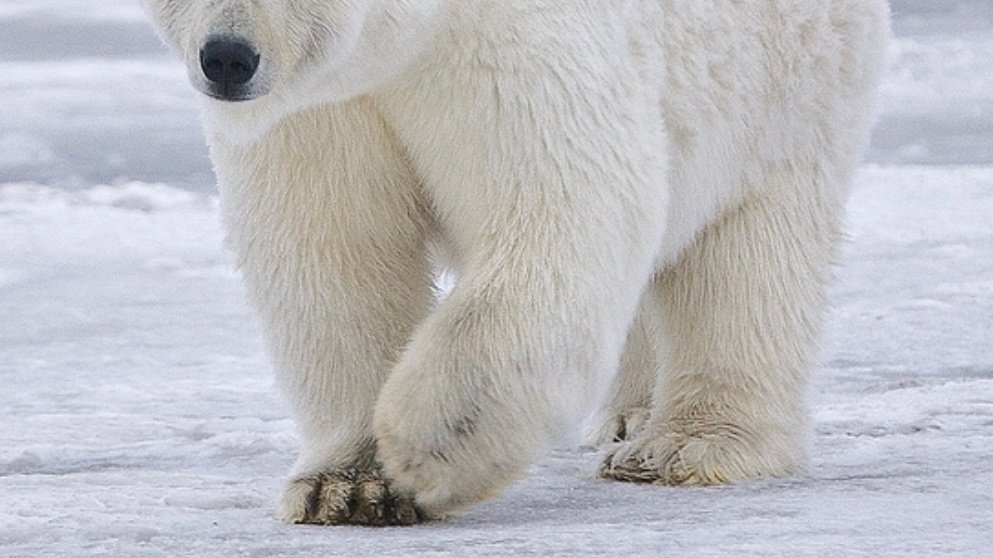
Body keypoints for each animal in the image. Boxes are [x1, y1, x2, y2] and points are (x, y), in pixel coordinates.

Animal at [140, 0, 889, 525]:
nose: (227, 58)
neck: (400, 48)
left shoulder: (511, 56)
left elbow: (560, 212)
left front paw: (425, 447)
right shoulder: (321, 108)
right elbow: (333, 256)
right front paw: (346, 488)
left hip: (786, 81)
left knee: (748, 253)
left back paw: (682, 446)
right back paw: (625, 417)